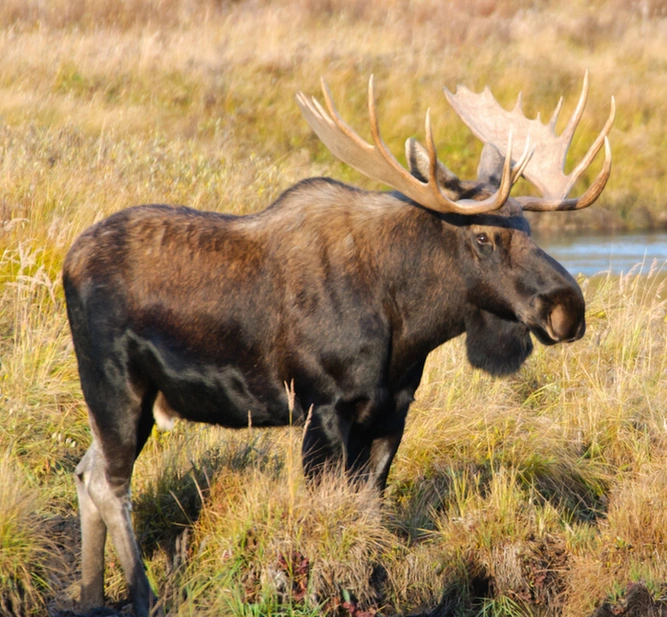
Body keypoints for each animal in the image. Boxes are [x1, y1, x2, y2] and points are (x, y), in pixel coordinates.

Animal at [63, 71, 614, 616]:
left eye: (528, 227)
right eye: (482, 236)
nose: (568, 307)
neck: (407, 325)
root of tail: (68, 262)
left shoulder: (393, 410)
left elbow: (371, 511)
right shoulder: (324, 406)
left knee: (86, 472)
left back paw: (92, 598)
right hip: (114, 385)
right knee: (110, 485)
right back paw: (142, 595)